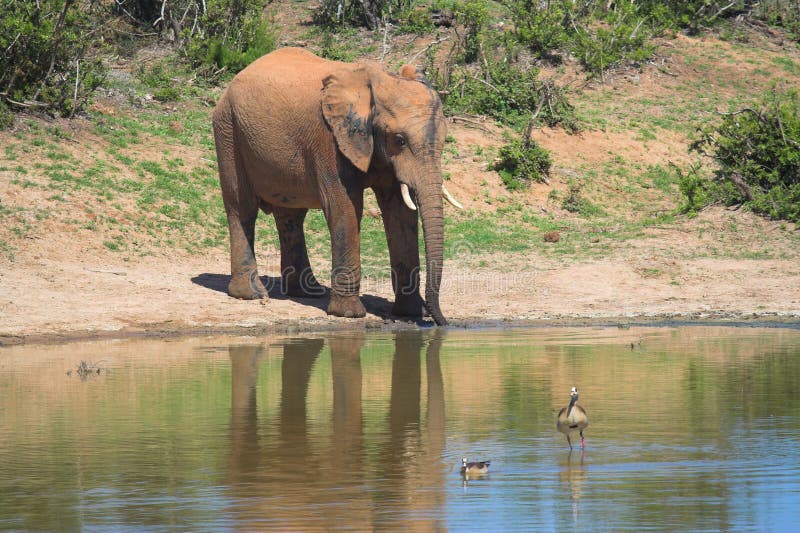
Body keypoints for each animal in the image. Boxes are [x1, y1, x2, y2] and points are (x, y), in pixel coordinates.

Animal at [212, 47, 461, 326]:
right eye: (400, 140)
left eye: (443, 141)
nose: (442, 323)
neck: (375, 83)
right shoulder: (329, 137)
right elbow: (345, 209)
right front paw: (350, 314)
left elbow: (400, 213)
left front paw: (409, 313)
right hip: (228, 129)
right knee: (242, 208)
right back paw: (252, 294)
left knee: (291, 216)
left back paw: (308, 292)